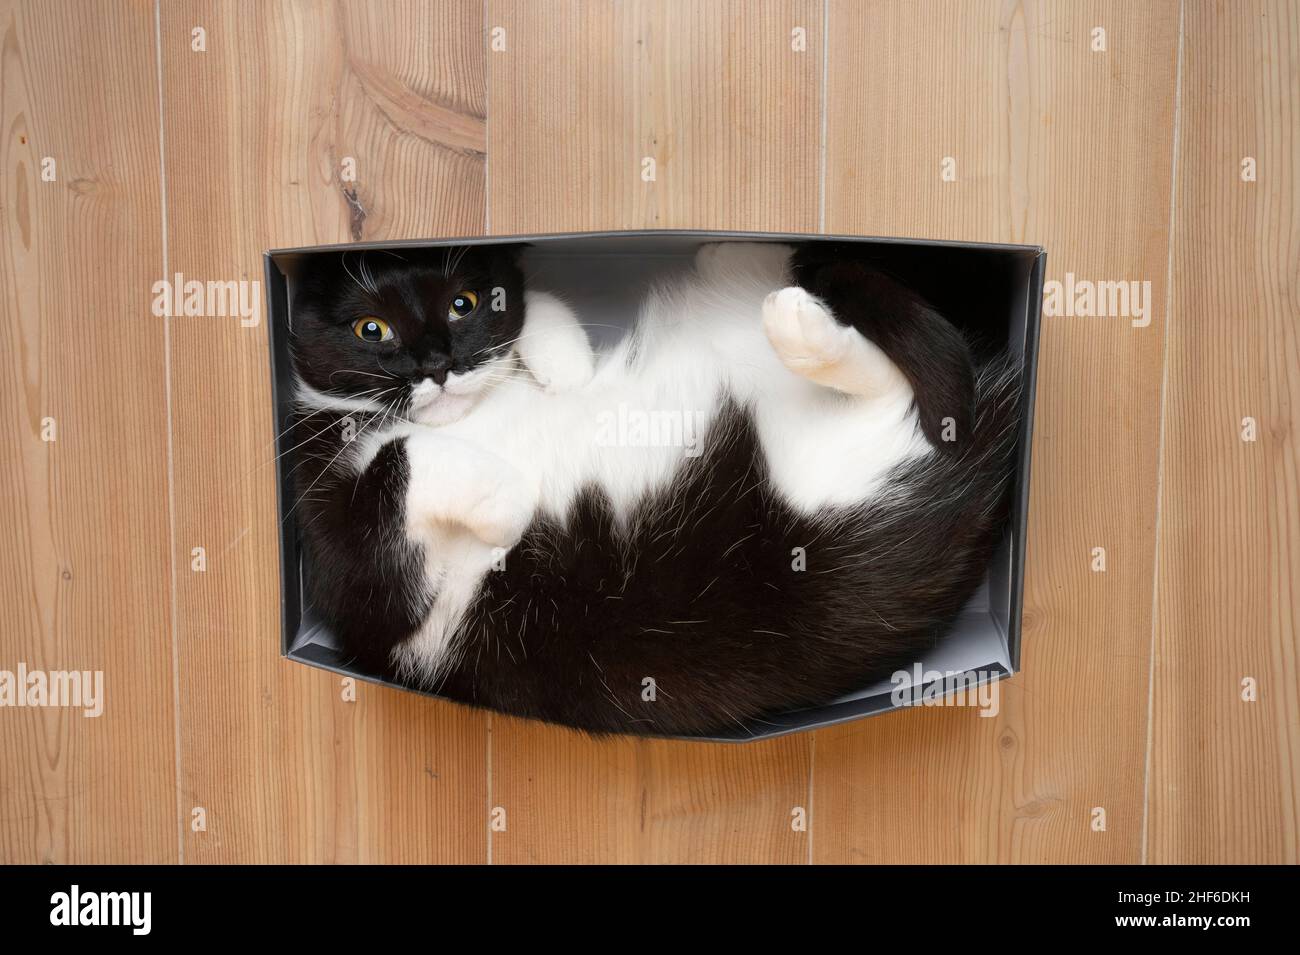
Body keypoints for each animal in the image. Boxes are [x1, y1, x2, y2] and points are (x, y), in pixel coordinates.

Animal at [289, 242, 1019, 738]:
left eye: (462, 304)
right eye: (372, 329)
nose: (437, 365)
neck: (461, 419)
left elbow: (544, 331)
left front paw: (553, 350)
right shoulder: (366, 591)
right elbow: (397, 466)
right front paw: (505, 496)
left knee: (887, 377)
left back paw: (760, 277)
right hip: (821, 499)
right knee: (888, 389)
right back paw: (791, 315)